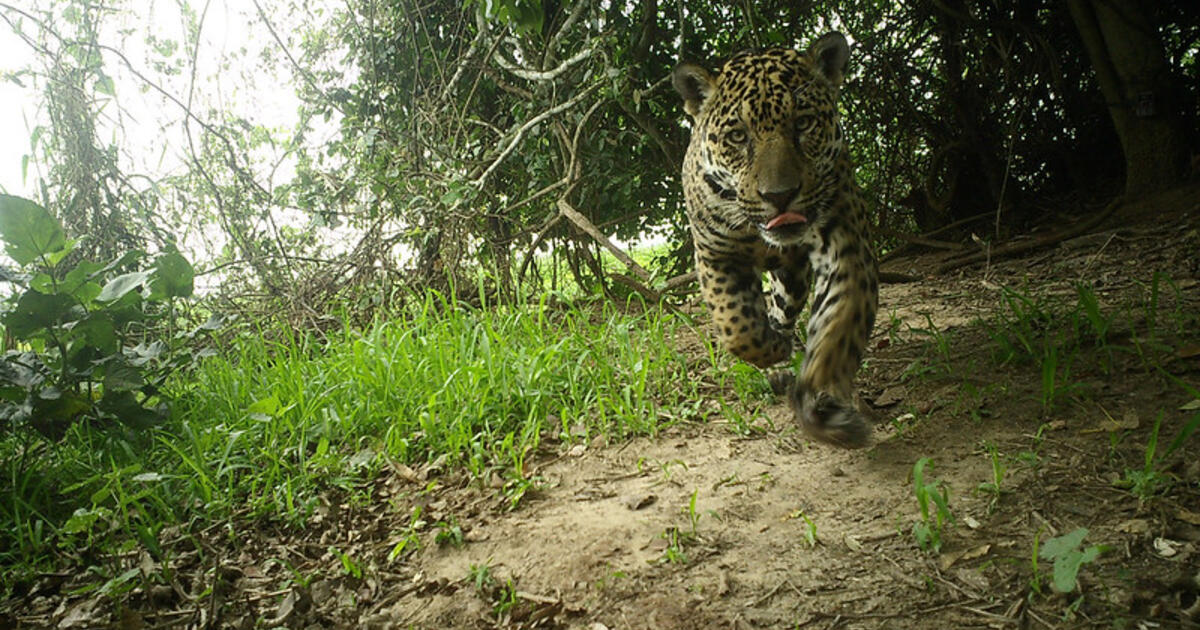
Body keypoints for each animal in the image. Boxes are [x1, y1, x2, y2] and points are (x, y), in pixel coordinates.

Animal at [672, 31, 879, 448]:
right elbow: (737, 327)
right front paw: (769, 349)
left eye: (803, 123)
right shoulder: (715, 255)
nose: (779, 196)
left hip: (793, 277)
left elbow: (838, 324)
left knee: (784, 307)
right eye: (738, 136)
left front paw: (822, 405)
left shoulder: (846, 247)